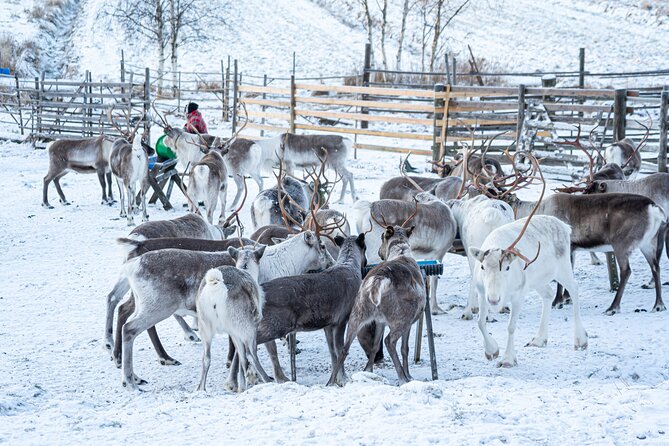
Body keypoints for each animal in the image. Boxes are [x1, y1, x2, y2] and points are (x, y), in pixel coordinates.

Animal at [196, 245, 270, 392]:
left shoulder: (233, 332)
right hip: (247, 329)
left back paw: (201, 389)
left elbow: (239, 356)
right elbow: (242, 357)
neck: (246, 268)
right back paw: (268, 379)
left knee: (206, 358)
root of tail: (216, 285)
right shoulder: (242, 330)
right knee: (250, 354)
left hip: (205, 328)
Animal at [327, 225, 425, 386]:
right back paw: (402, 378)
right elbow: (405, 349)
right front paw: (409, 375)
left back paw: (330, 382)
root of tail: (378, 280)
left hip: (357, 313)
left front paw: (368, 370)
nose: (379, 252)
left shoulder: (380, 320)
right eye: (382, 237)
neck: (401, 251)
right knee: (389, 341)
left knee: (343, 349)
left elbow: (374, 346)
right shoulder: (411, 321)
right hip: (402, 317)